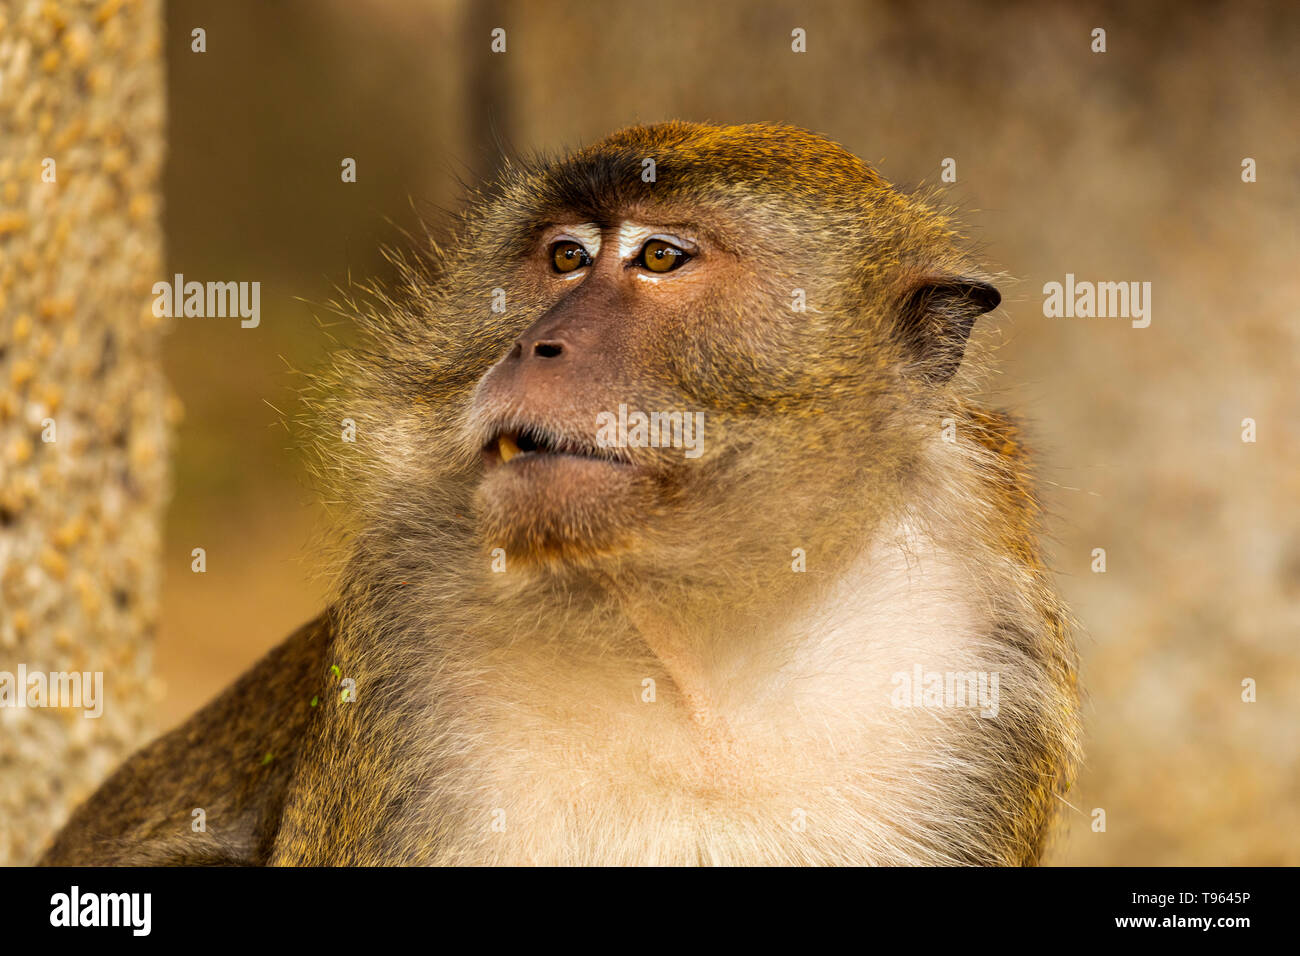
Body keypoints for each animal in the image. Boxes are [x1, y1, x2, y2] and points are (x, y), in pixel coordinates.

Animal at [41, 121, 1081, 866]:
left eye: (660, 257)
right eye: (567, 257)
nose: (530, 344)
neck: (696, 649)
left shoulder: (979, 657)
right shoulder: (409, 641)